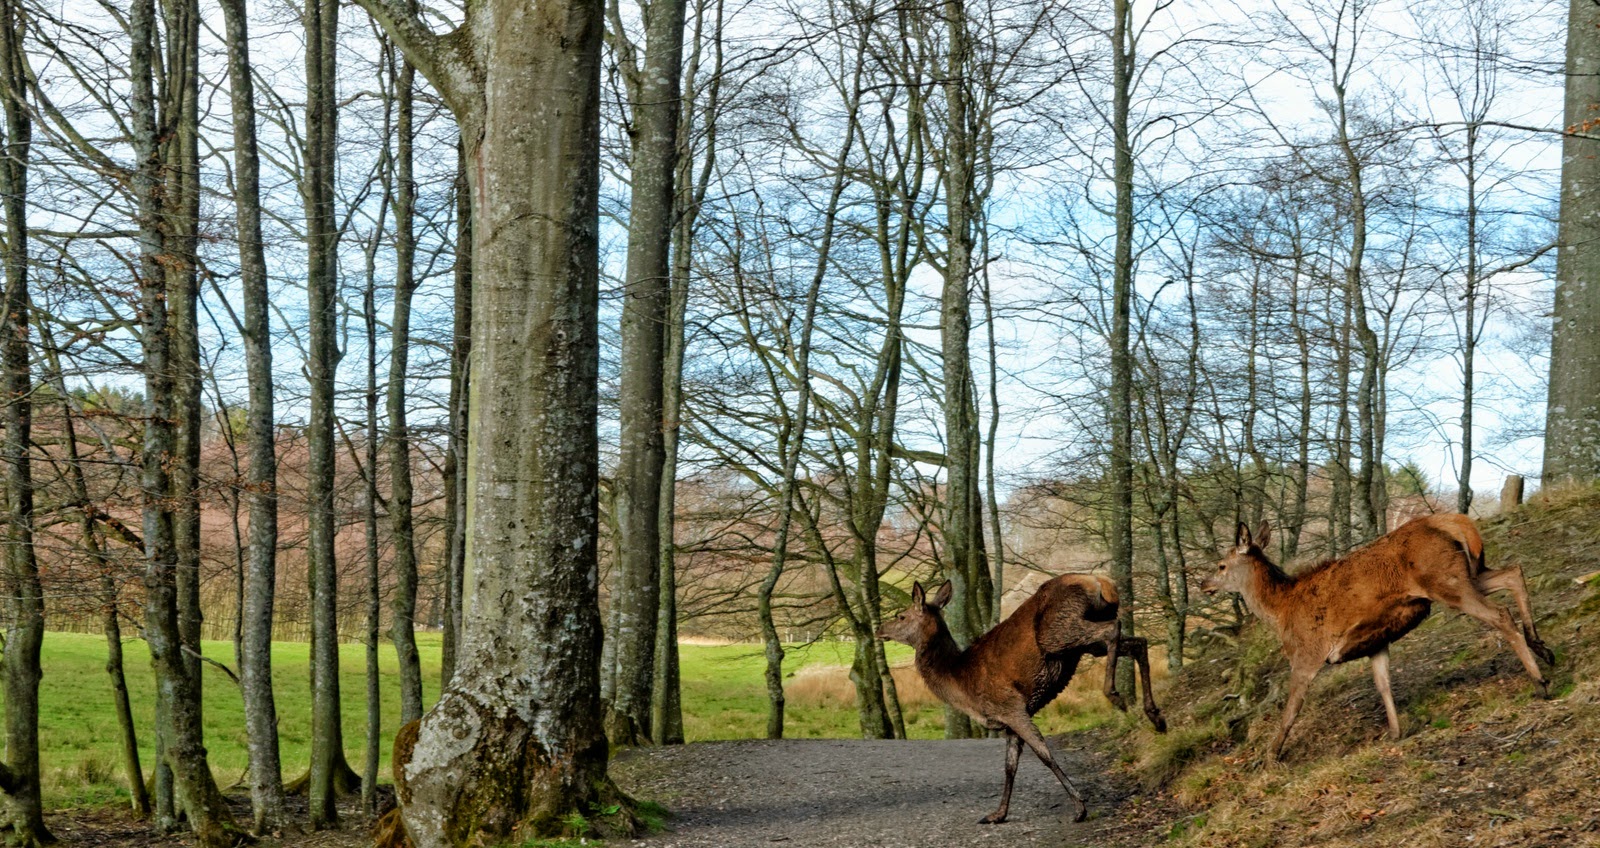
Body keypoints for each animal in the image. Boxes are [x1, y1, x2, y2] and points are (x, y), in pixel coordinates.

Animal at [877, 575, 1166, 825]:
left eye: (901, 615)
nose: (879, 628)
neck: (961, 682)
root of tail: (1099, 581)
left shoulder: (1011, 706)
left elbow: (1044, 754)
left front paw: (1080, 807)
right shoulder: (1008, 721)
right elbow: (1009, 767)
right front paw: (997, 814)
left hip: (1058, 631)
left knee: (1113, 629)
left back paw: (1115, 695)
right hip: (1083, 641)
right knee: (1138, 641)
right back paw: (1156, 716)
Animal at [1201, 515, 1555, 763]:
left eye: (1221, 565)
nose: (1203, 584)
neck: (1281, 612)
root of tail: (1452, 522)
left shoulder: (1306, 655)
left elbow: (1290, 711)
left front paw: (1269, 756)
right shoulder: (1376, 642)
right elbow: (1383, 684)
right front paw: (1395, 732)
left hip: (1447, 582)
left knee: (1501, 614)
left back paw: (1539, 682)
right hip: (1469, 575)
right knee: (1513, 572)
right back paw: (1543, 648)